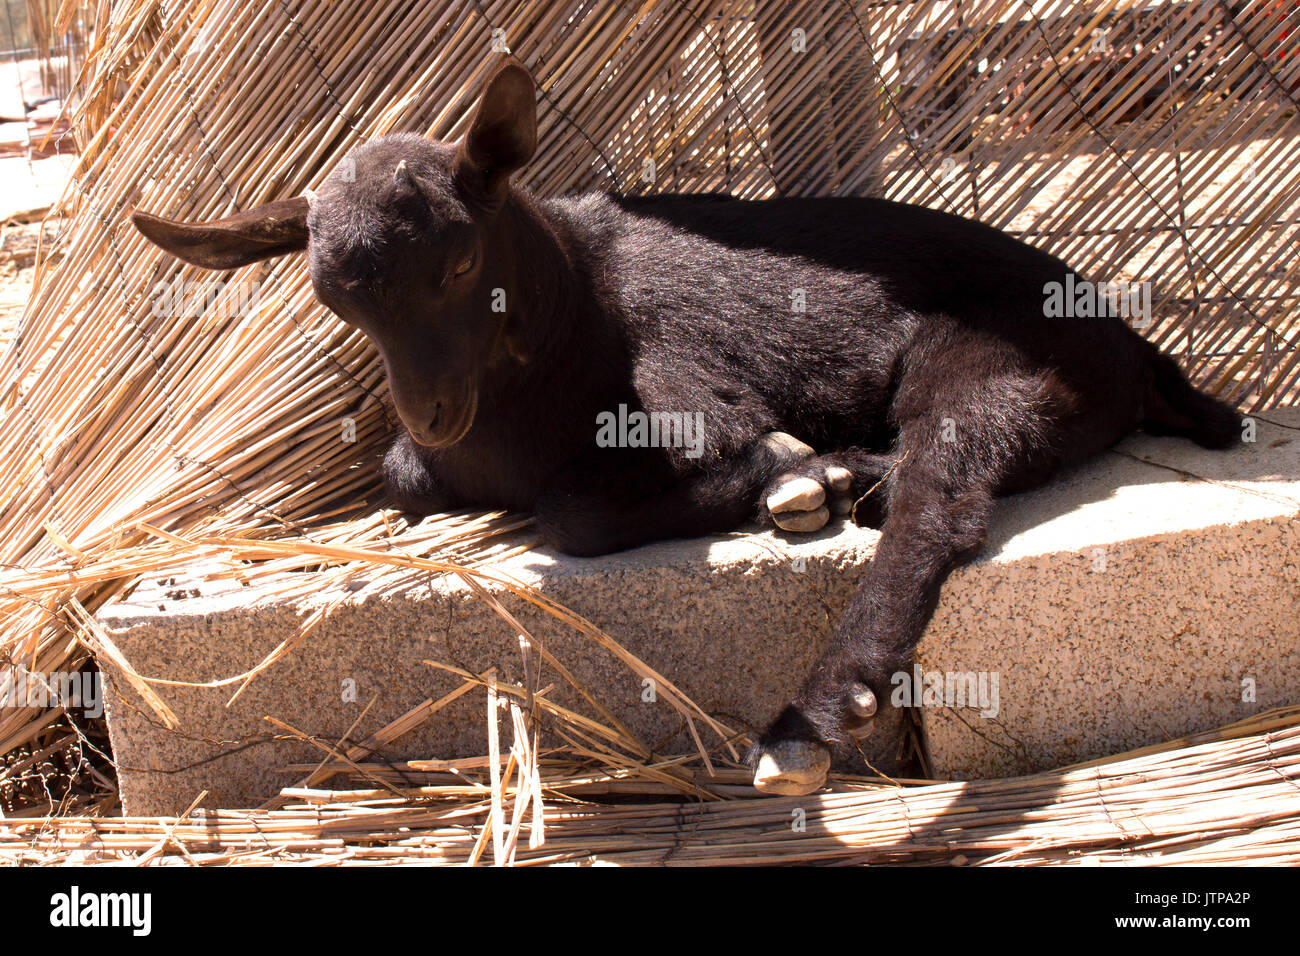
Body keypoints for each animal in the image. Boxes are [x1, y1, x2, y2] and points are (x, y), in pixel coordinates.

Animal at [132, 58, 1241, 795]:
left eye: (458, 261)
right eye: (331, 298)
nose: (434, 412)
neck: (575, 320)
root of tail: (1133, 343)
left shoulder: (687, 397)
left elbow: (576, 511)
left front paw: (771, 465)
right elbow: (405, 480)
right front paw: (801, 473)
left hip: (987, 363)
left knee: (939, 497)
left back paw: (812, 704)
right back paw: (838, 478)